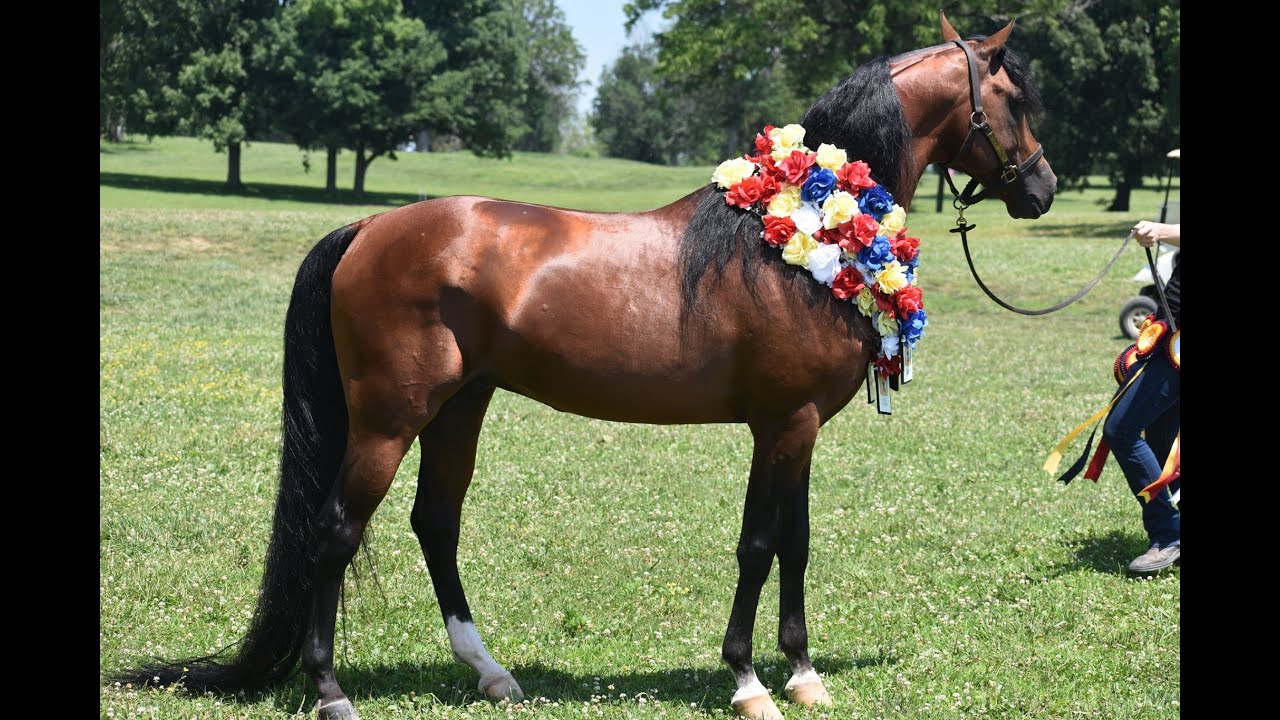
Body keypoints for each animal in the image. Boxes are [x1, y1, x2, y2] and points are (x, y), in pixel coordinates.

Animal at [116, 14, 1056, 720]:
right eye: (1013, 98)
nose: (1042, 189)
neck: (791, 239)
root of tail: (369, 228)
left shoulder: (799, 430)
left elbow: (796, 543)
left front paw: (803, 674)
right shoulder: (781, 425)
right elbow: (758, 546)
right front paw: (749, 681)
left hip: (460, 407)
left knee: (435, 525)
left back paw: (490, 674)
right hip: (388, 418)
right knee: (336, 532)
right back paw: (331, 691)